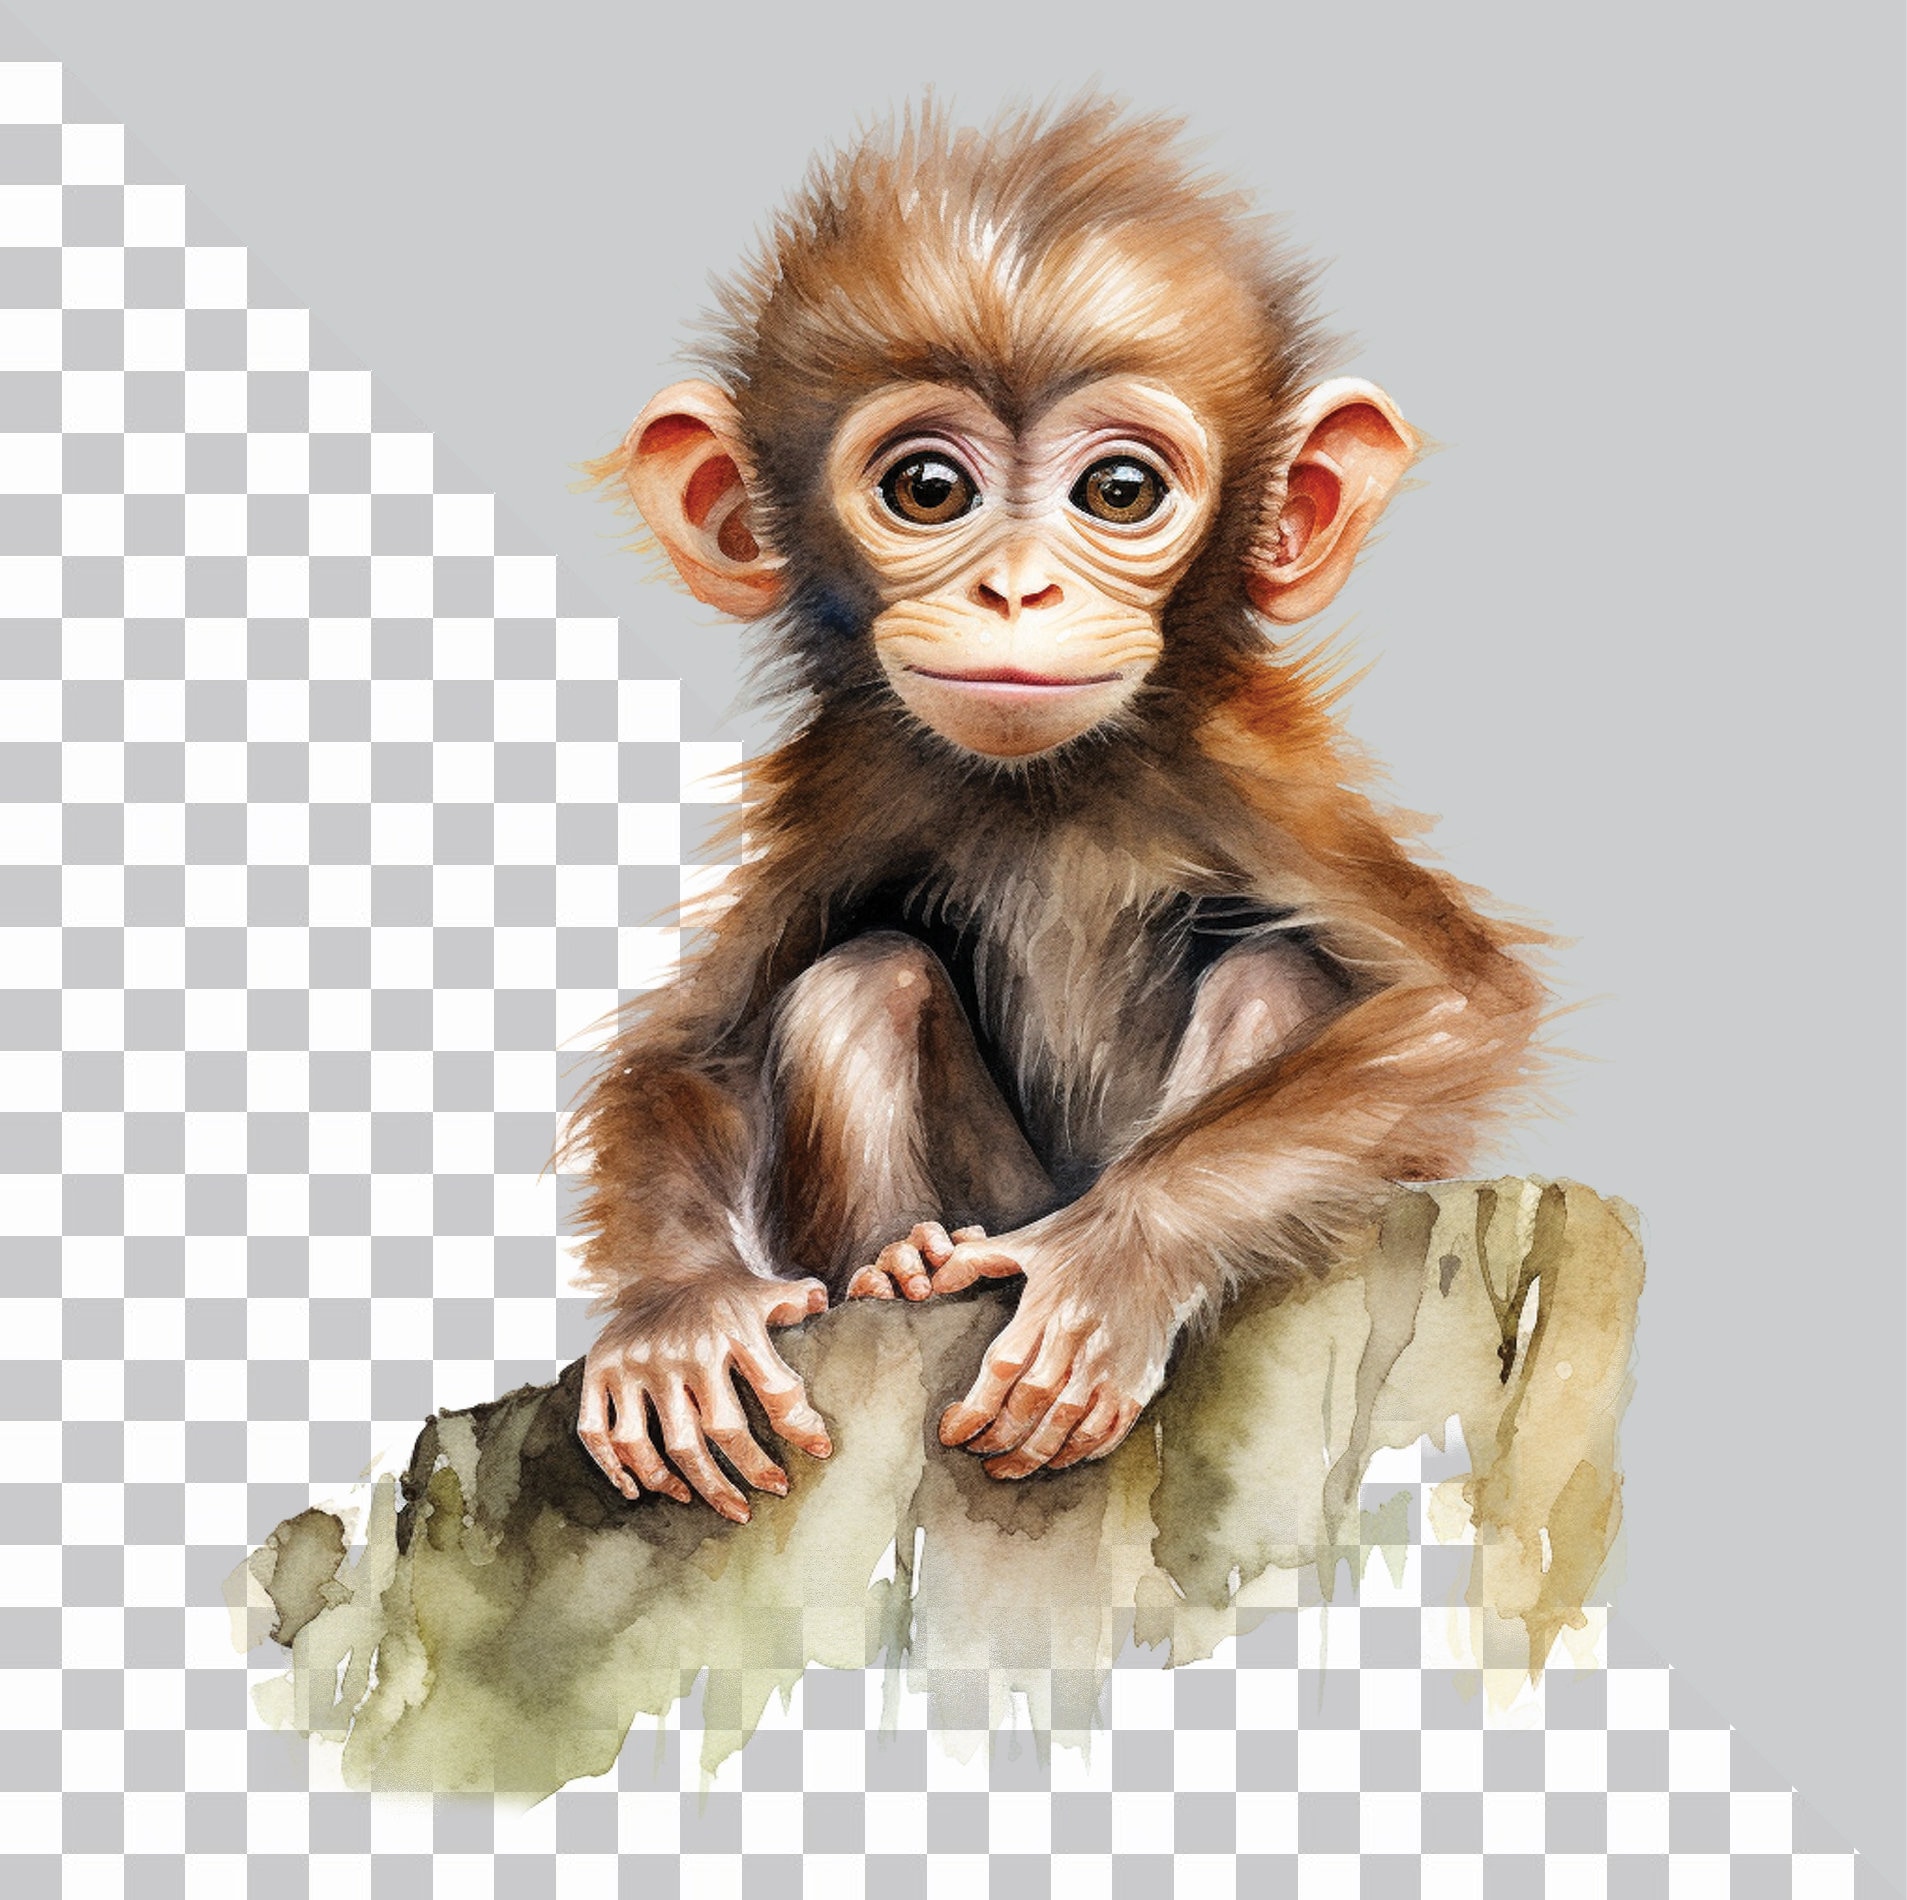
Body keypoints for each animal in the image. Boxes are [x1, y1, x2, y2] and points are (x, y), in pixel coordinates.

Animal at [565, 98, 1548, 1524]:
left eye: (1118, 493)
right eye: (926, 488)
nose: (1018, 590)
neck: (1054, 785)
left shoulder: (1251, 767)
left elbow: (1454, 1000)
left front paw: (1111, 1258)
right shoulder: (851, 778)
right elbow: (692, 1048)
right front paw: (679, 1314)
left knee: (1273, 972)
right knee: (859, 978)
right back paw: (903, 1263)